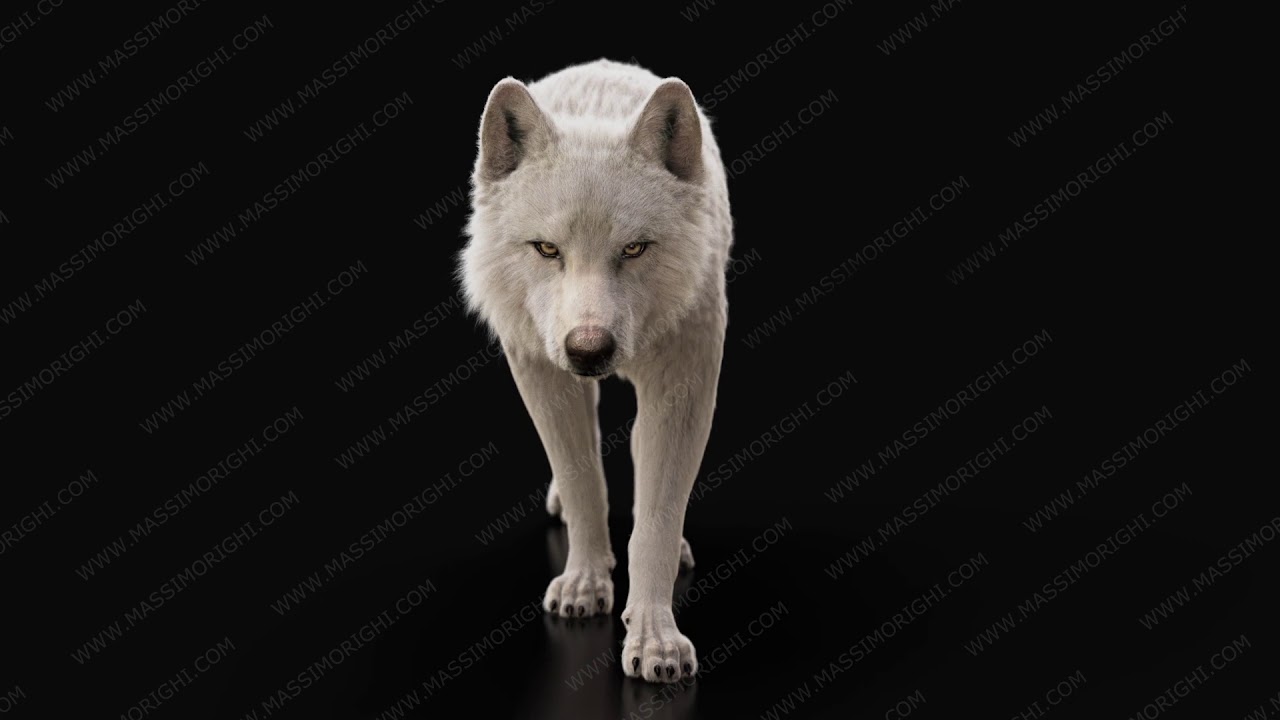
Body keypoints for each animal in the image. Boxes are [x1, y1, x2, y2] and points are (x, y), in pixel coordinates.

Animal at [459, 59, 732, 683]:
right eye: (546, 249)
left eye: (634, 249)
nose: (589, 350)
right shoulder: (543, 374)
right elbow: (584, 483)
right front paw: (585, 583)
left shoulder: (684, 385)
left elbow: (656, 519)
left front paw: (655, 640)